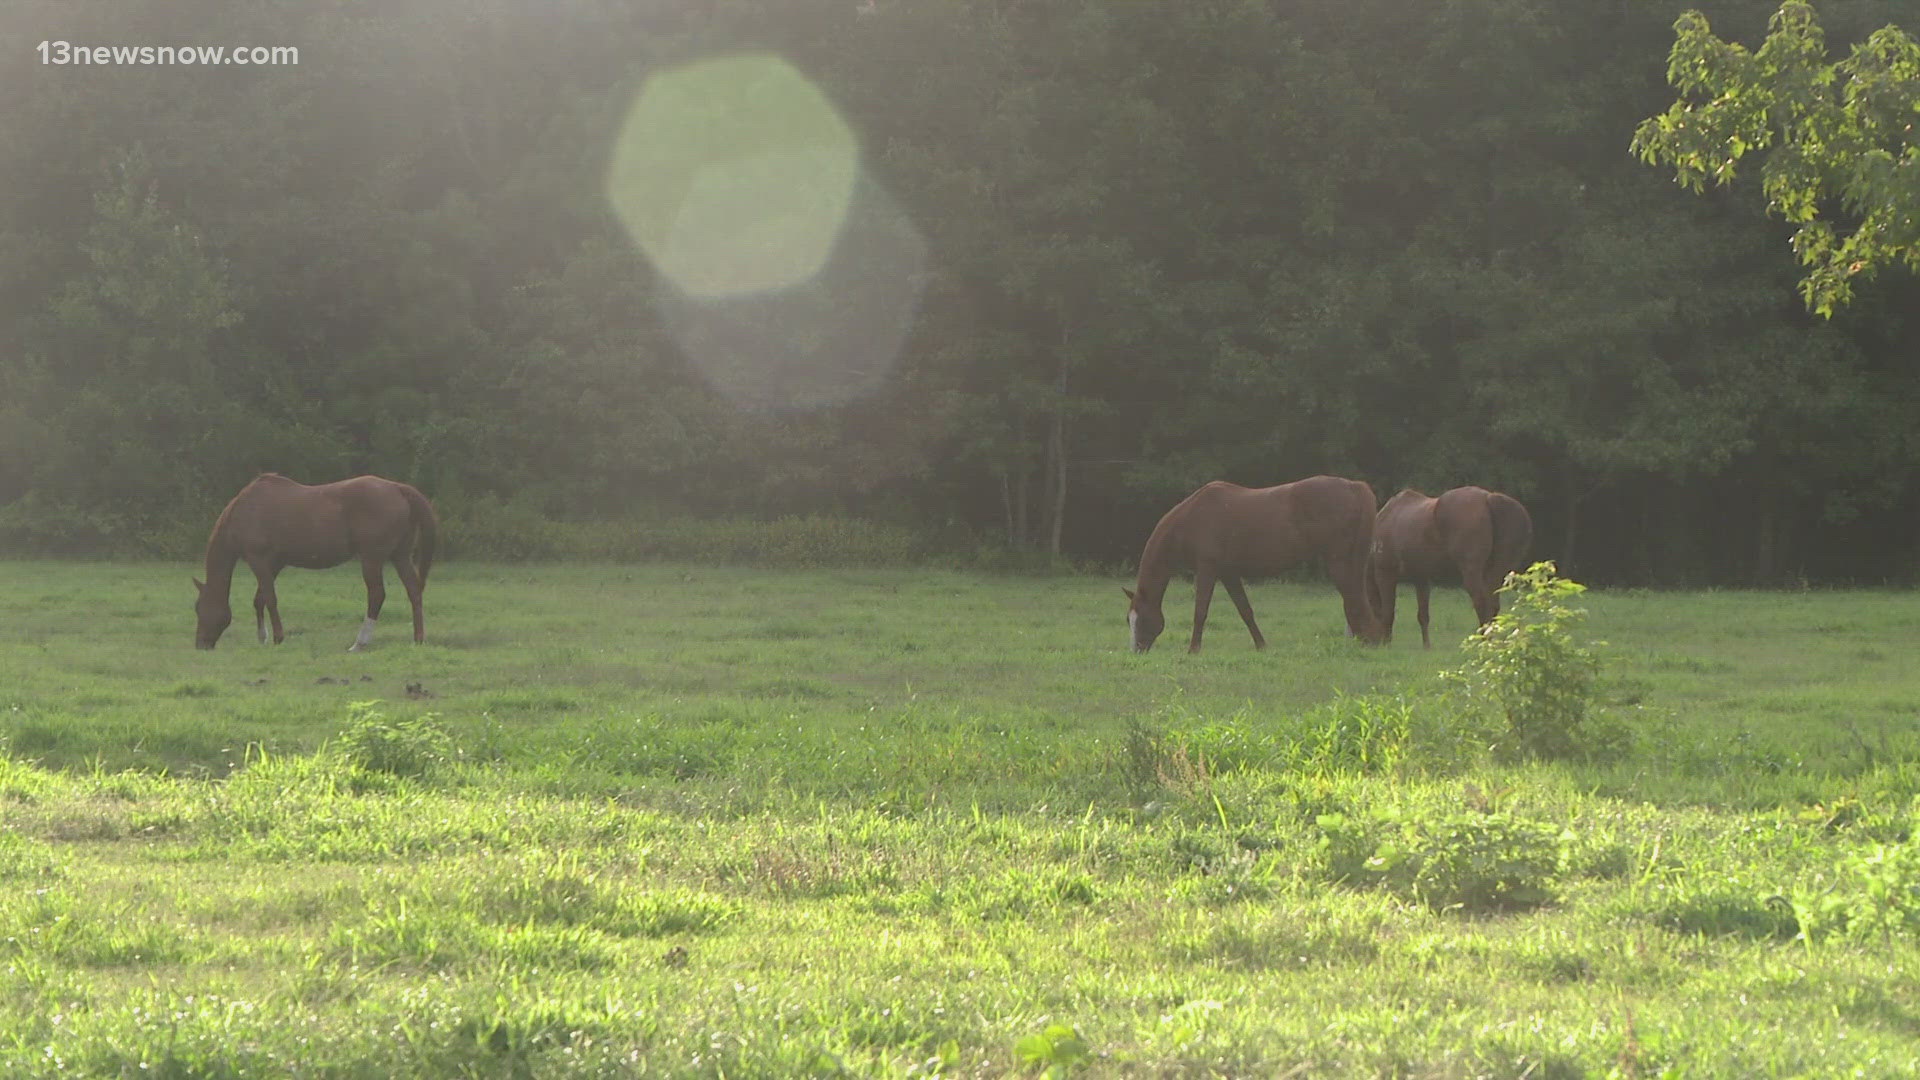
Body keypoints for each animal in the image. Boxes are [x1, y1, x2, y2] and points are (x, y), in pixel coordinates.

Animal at [194, 473, 438, 651]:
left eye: (198, 608)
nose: (200, 644)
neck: (245, 511)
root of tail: (398, 488)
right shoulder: (274, 564)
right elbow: (260, 599)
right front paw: (263, 637)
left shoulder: (258, 560)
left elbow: (270, 599)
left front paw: (278, 637)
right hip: (400, 556)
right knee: (414, 591)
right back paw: (418, 638)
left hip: (372, 559)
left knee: (377, 595)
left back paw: (360, 642)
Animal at [1123, 475, 1384, 653]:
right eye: (1128, 620)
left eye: (1141, 618)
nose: (1137, 651)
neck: (1190, 520)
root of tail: (1354, 486)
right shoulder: (1228, 574)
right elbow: (1245, 611)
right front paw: (1261, 645)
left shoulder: (1207, 570)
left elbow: (1200, 611)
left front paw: (1193, 650)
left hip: (1340, 563)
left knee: (1355, 599)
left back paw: (1370, 640)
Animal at [1367, 486, 1532, 647]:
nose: (1374, 640)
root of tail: (1488, 498)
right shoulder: (1421, 578)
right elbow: (1423, 615)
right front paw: (1427, 646)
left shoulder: (1385, 574)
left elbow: (1388, 612)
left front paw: (1387, 644)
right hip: (1497, 572)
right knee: (1493, 605)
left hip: (1472, 572)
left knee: (1482, 603)